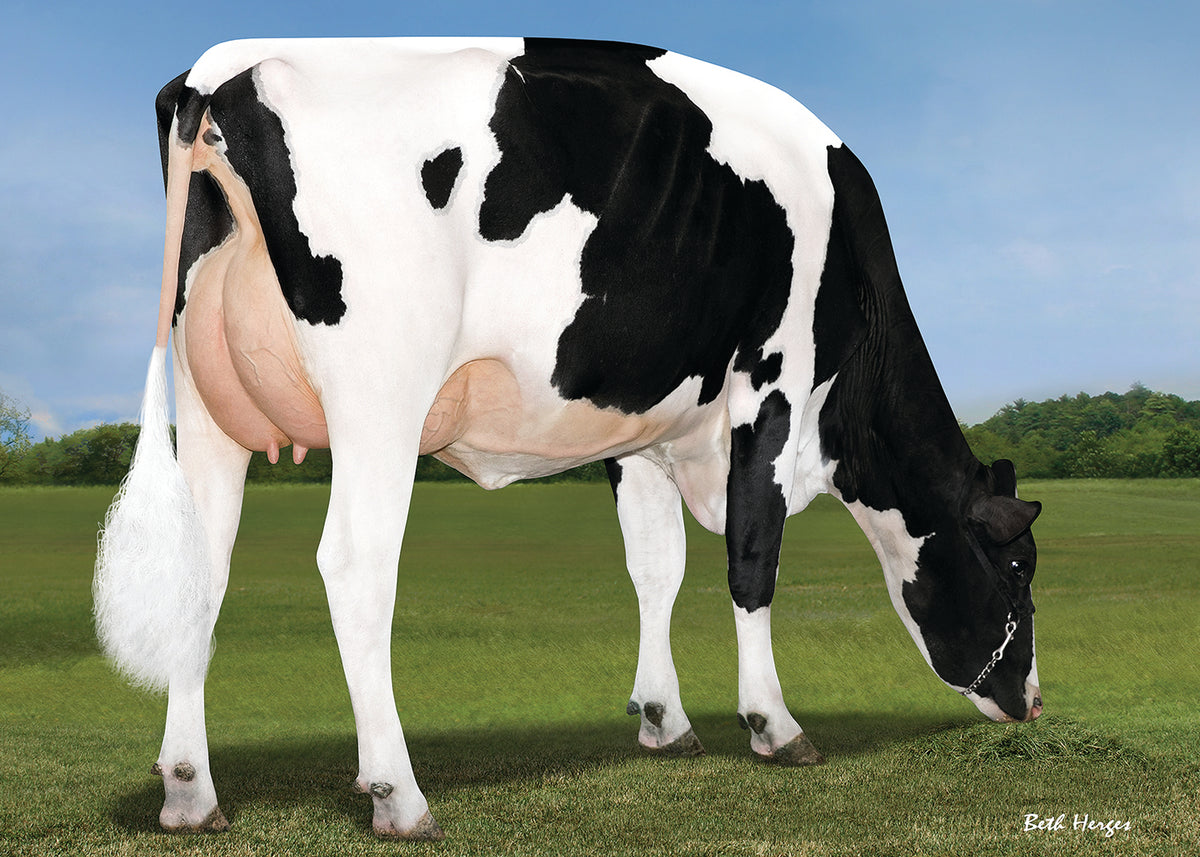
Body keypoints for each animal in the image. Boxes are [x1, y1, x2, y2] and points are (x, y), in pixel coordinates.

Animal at [94, 37, 1043, 841]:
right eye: (1017, 568)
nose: (1032, 700)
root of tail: (222, 67)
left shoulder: (642, 431)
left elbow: (655, 568)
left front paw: (665, 718)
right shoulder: (770, 389)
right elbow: (751, 561)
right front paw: (774, 724)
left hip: (210, 406)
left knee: (200, 572)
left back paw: (190, 790)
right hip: (379, 393)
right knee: (357, 567)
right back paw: (399, 794)